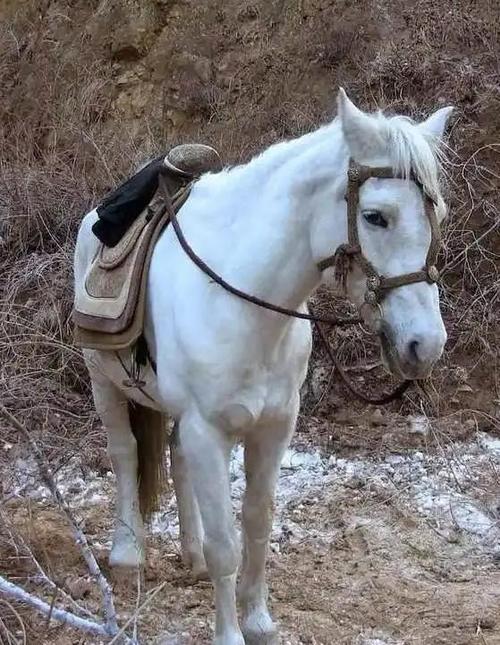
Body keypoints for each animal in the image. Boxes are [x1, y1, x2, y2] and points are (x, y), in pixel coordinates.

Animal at [73, 88, 453, 644]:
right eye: (376, 216)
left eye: (436, 213)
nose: (425, 344)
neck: (240, 299)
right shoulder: (208, 429)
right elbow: (226, 543)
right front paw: (230, 633)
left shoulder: (274, 427)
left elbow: (256, 523)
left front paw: (258, 621)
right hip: (103, 380)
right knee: (125, 454)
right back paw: (127, 554)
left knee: (174, 458)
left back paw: (190, 554)